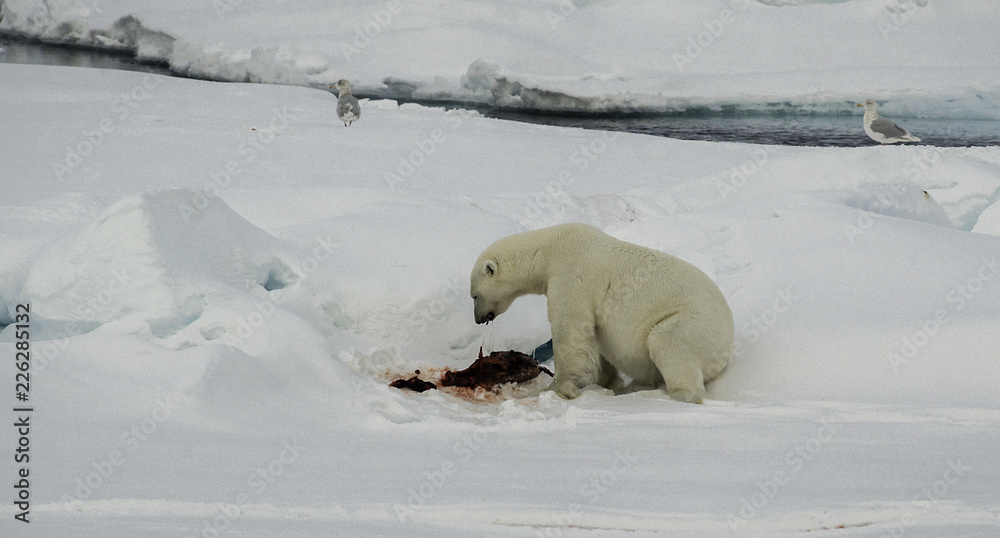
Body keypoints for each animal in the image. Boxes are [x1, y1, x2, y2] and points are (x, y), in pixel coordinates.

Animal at [470, 223, 733, 403]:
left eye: (474, 295)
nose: (478, 319)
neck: (548, 249)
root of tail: (726, 348)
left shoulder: (570, 275)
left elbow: (571, 329)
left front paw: (557, 388)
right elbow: (595, 337)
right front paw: (602, 382)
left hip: (695, 324)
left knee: (668, 341)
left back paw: (669, 393)